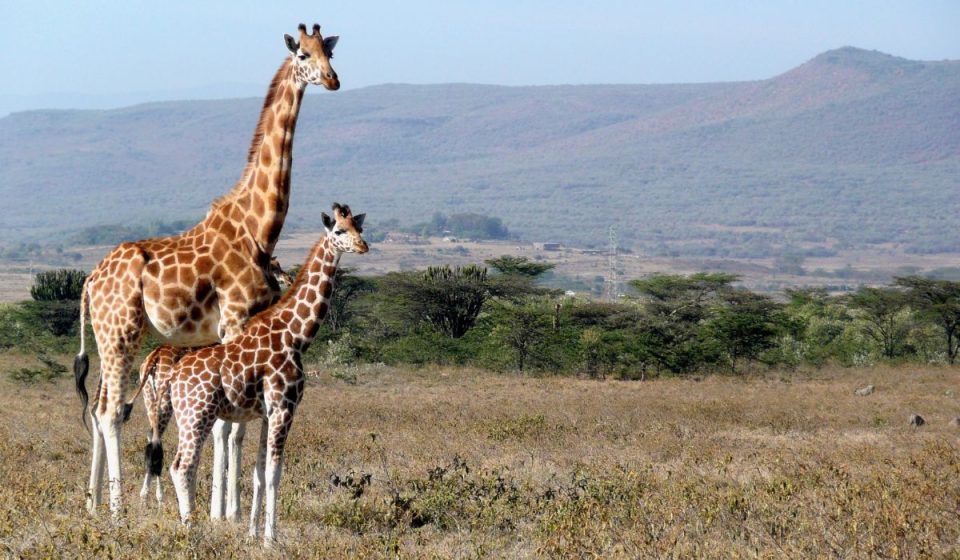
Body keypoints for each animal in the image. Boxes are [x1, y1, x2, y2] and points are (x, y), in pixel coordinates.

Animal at [134, 258, 293, 505]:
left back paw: (147, 495)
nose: (288, 280)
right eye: (274, 267)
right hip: (165, 402)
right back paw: (157, 496)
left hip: (150, 399)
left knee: (151, 436)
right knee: (157, 438)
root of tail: (155, 357)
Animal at [166, 203, 366, 544]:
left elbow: (259, 473)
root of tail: (175, 379)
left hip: (186, 417)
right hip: (198, 414)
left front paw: (252, 534)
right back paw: (191, 530)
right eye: (339, 231)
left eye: (360, 228)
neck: (295, 334)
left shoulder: (265, 412)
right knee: (184, 467)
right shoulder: (284, 406)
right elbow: (274, 473)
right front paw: (271, 539)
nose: (364, 246)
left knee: (178, 464)